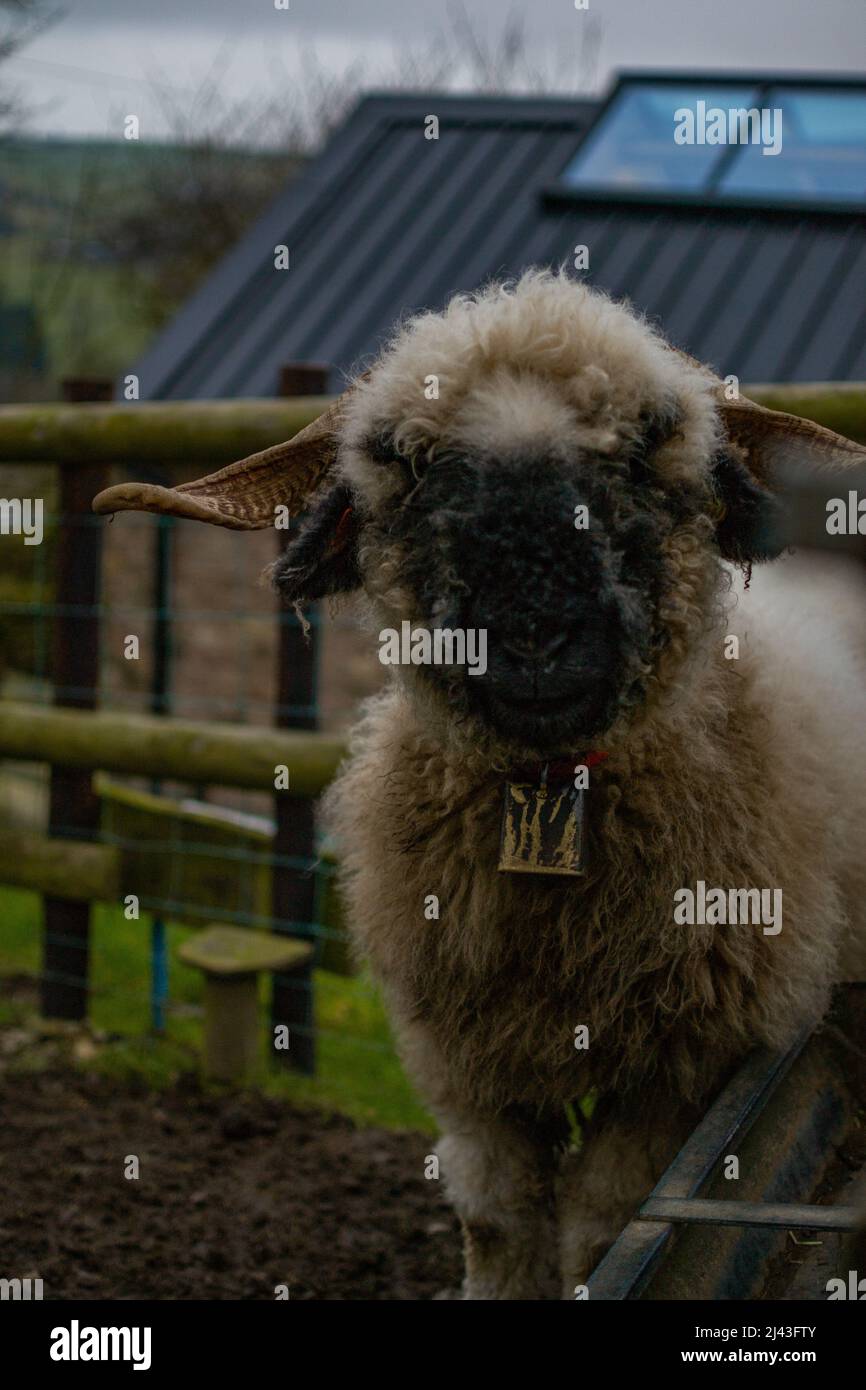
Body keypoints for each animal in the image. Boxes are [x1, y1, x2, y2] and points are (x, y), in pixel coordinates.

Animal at [94, 269, 866, 1299]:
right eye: (406, 461)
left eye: (646, 447)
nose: (532, 632)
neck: (548, 805)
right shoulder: (458, 1056)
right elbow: (496, 1220)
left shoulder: (687, 1063)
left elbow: (604, 1225)